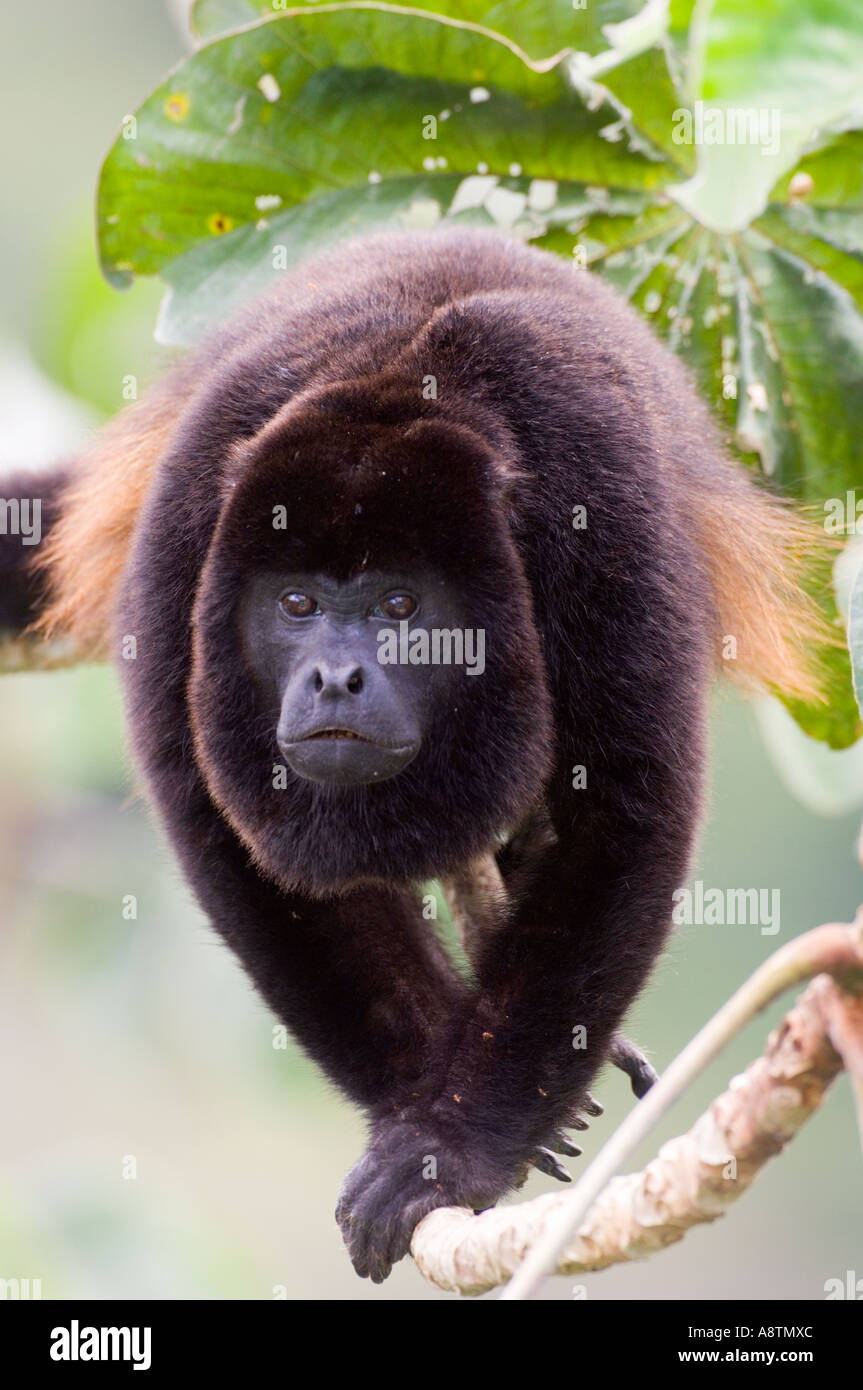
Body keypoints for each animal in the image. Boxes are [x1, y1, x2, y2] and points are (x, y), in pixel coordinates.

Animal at [0, 227, 831, 1282]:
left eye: (400, 605)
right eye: (297, 602)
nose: (334, 679)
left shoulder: (593, 484)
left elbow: (623, 811)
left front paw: (447, 1150)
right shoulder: (189, 517)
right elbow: (217, 821)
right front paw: (434, 1115)